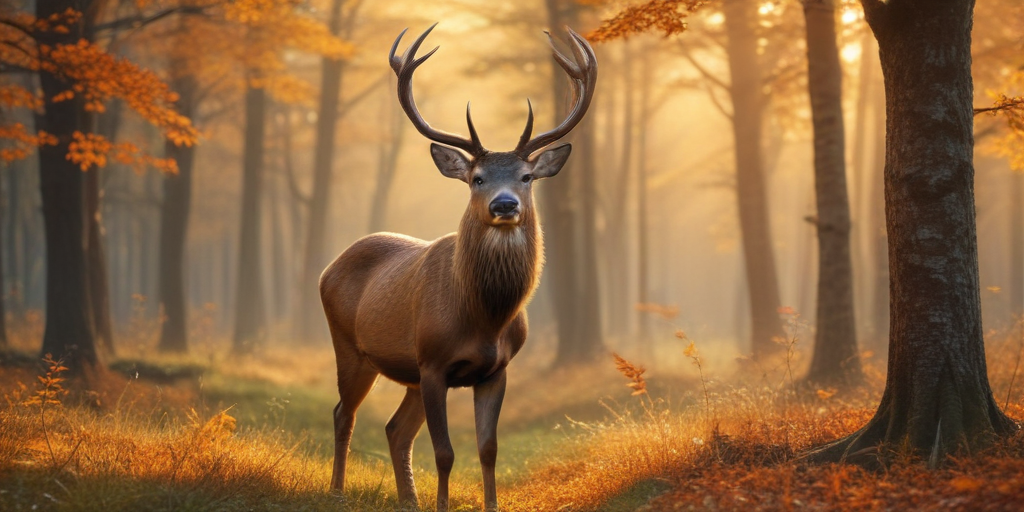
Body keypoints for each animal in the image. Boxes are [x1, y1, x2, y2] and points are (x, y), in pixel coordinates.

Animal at [319, 23, 596, 511]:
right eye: (476, 178)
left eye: (526, 177)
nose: (504, 205)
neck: (484, 317)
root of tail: (328, 268)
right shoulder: (433, 363)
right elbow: (445, 452)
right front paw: (443, 504)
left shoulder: (496, 370)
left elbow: (488, 449)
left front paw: (491, 505)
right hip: (350, 347)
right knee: (343, 413)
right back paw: (336, 490)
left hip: (405, 373)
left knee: (394, 429)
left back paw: (408, 500)